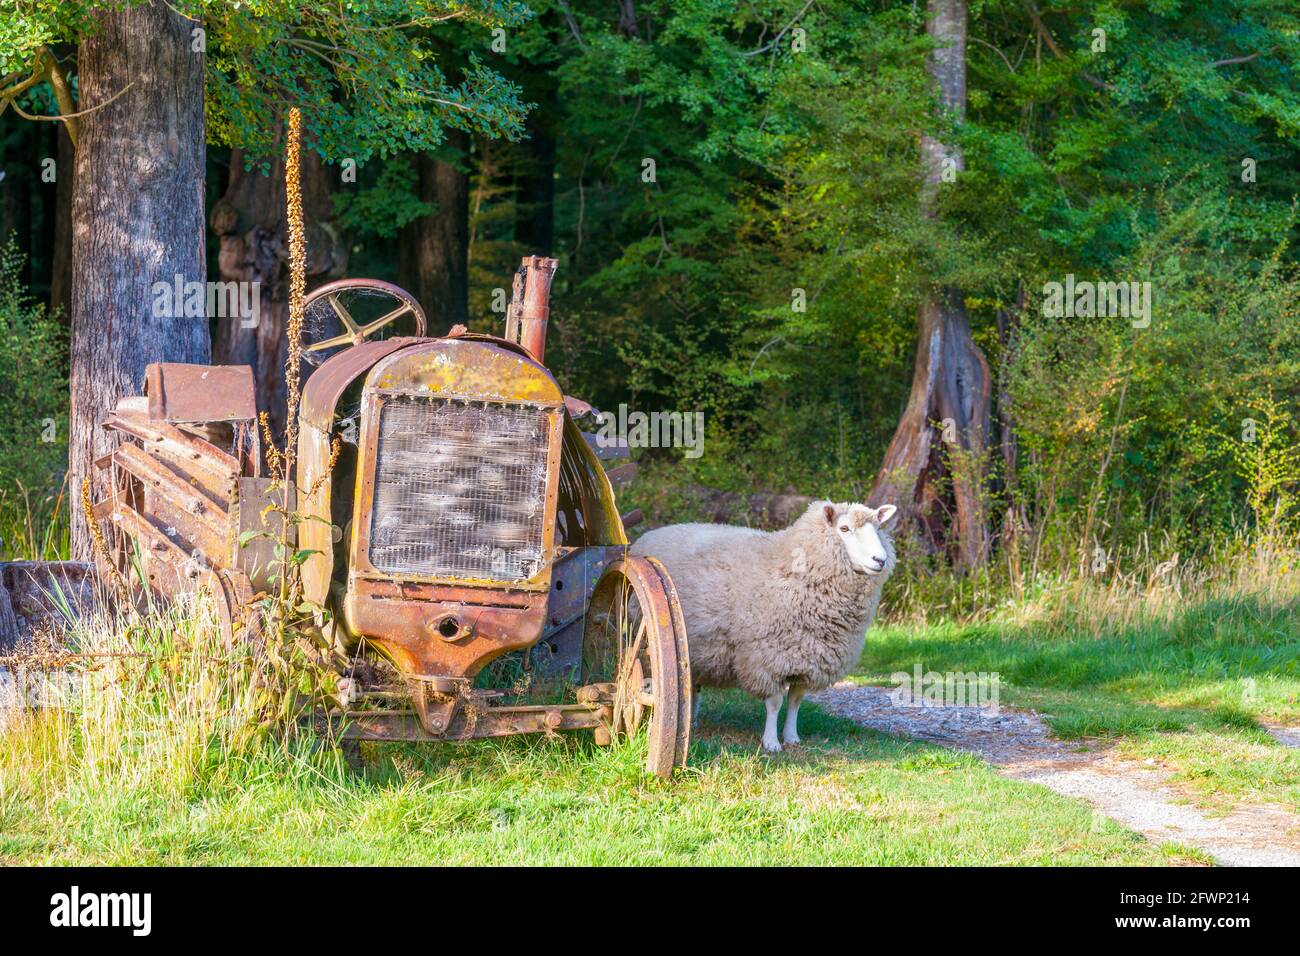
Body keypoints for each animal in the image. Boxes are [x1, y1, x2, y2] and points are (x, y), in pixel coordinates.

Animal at [630, 500, 898, 752]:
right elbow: (775, 703)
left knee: (691, 683)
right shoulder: (768, 658)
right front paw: (771, 742)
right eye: (844, 529)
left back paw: (691, 721)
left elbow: (795, 701)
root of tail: (650, 534)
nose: (880, 560)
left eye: (878, 529)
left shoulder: (806, 658)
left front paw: (791, 737)